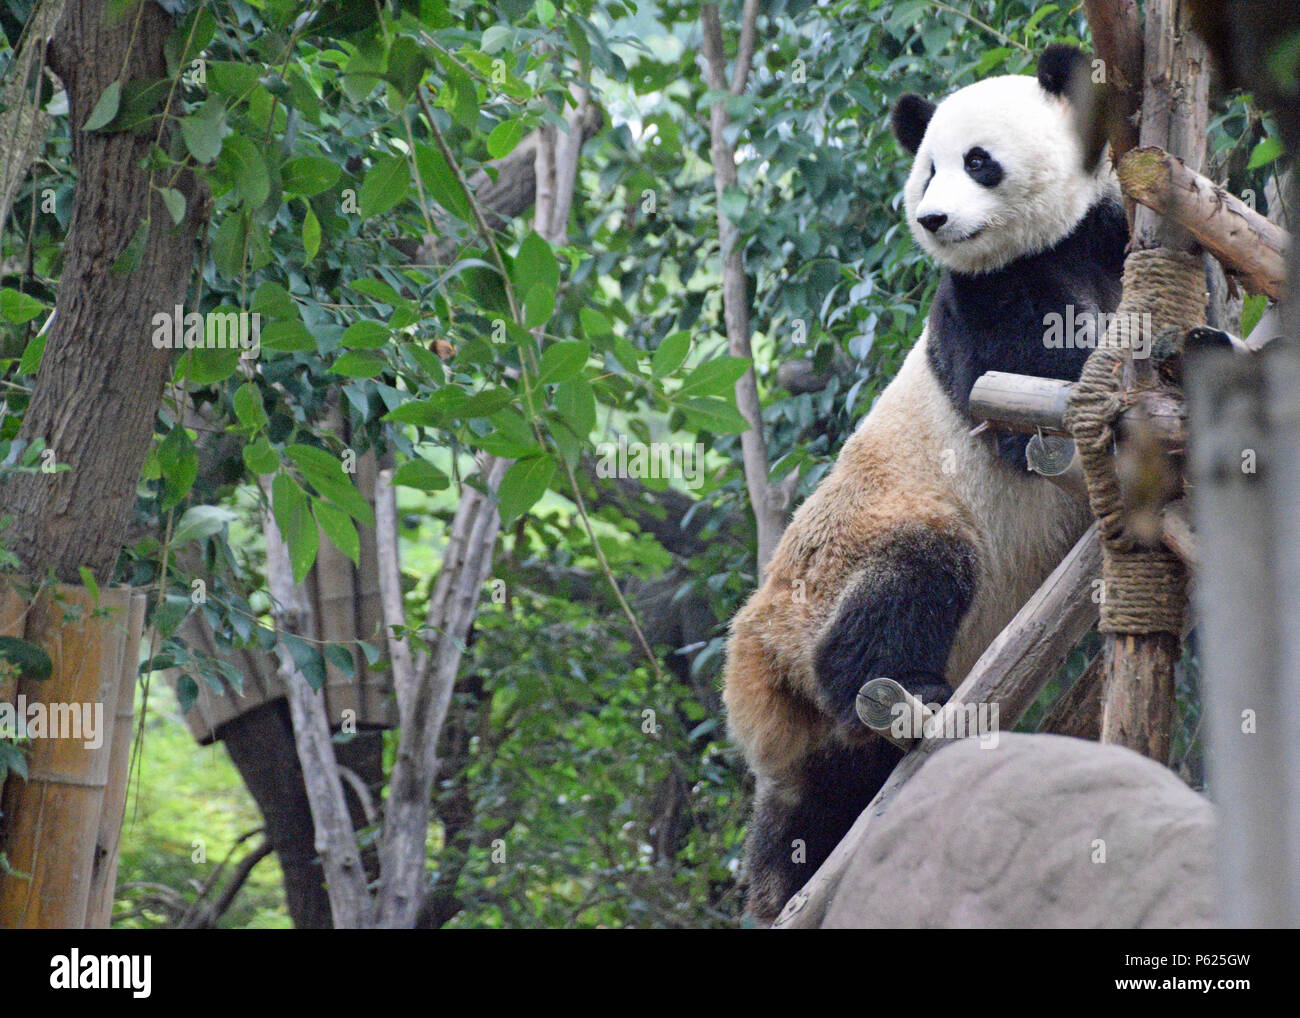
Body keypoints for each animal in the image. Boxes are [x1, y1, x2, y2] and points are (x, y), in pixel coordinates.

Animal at [722, 44, 1129, 924]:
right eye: (926, 170)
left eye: (976, 161)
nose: (933, 220)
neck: (1048, 244)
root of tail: (752, 663)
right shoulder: (974, 306)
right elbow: (1019, 387)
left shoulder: (1105, 234)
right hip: (852, 549)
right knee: (909, 582)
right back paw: (914, 691)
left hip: (819, 754)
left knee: (817, 807)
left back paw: (785, 882)